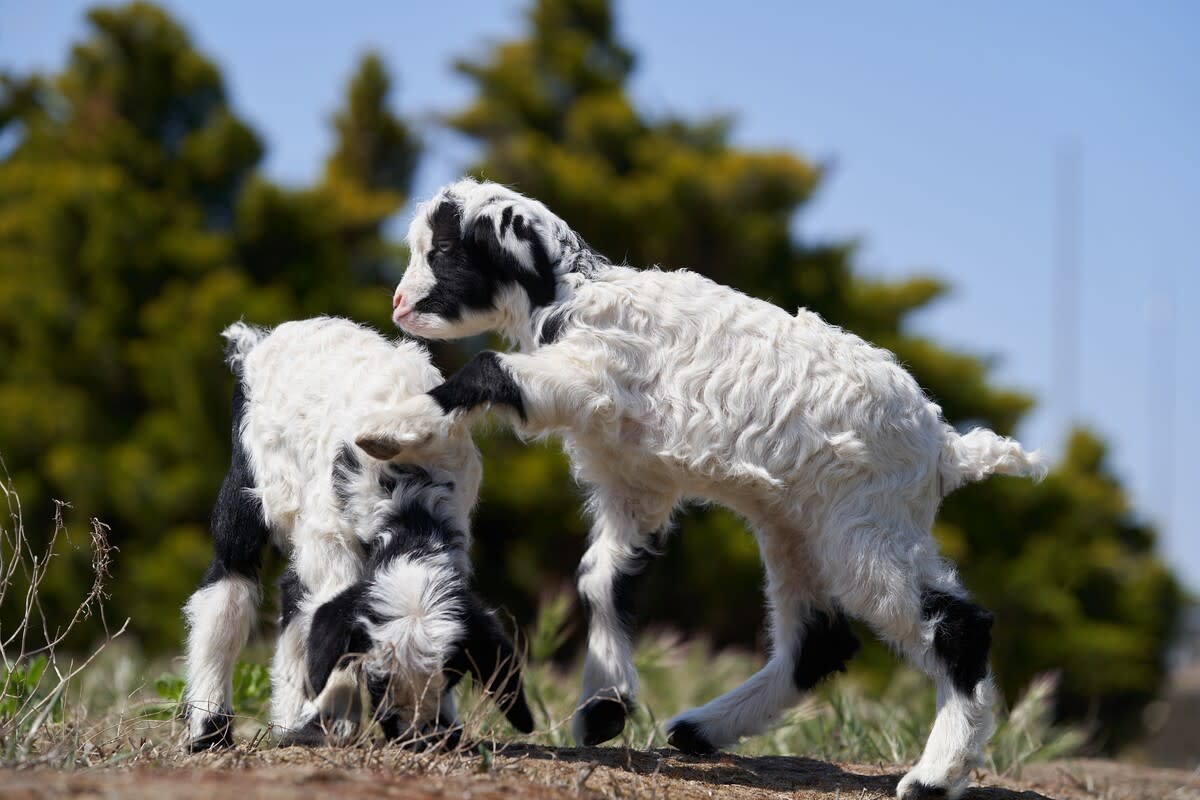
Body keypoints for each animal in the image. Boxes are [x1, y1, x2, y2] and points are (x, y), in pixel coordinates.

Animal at [183, 316, 533, 751]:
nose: (421, 738)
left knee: (291, 593)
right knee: (228, 586)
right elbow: (327, 620)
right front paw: (322, 725)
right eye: (376, 682)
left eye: (451, 676)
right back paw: (209, 730)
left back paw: (286, 721)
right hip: (250, 476)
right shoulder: (332, 538)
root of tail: (256, 342)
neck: (409, 493)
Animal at [355, 179, 1045, 800]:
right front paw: (604, 707)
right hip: (795, 529)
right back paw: (700, 730)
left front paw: (392, 427)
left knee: (956, 626)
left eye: (444, 250)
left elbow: (487, 367)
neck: (573, 298)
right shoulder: (634, 481)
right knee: (818, 642)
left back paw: (934, 778)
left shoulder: (591, 377)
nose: (399, 304)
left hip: (865, 526)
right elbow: (603, 581)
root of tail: (945, 445)